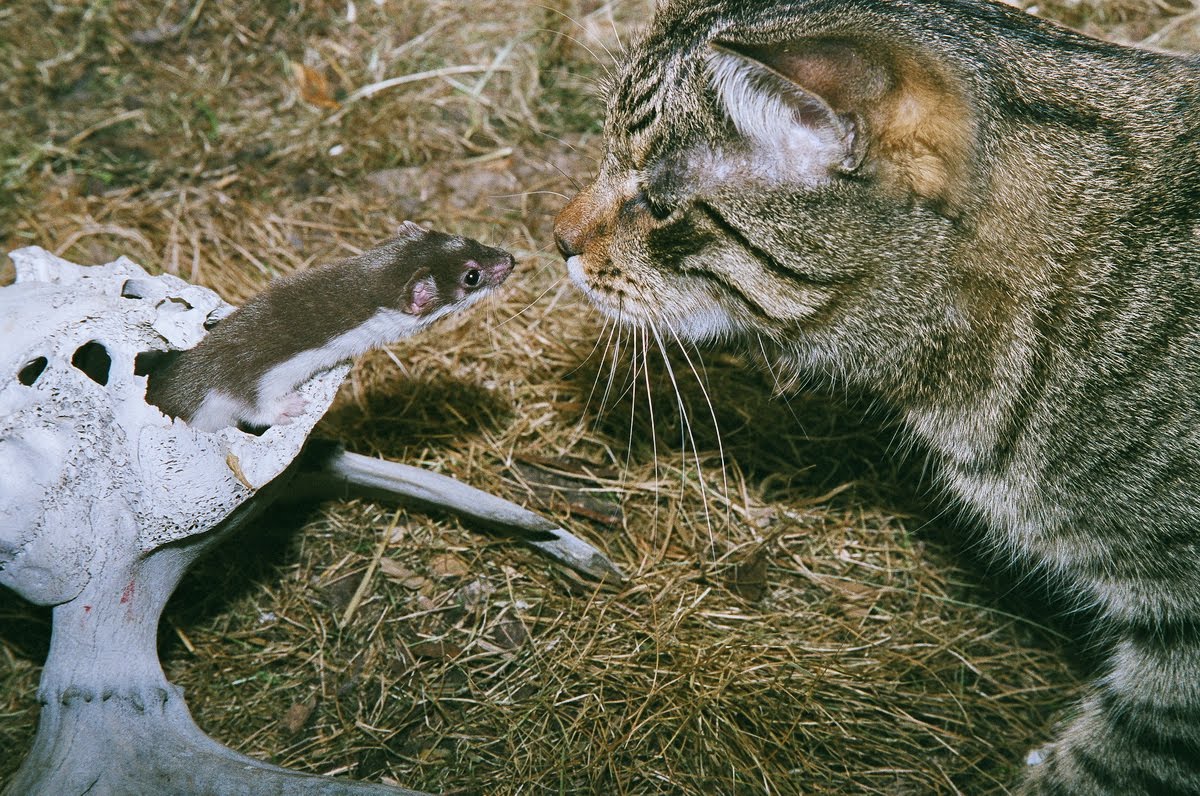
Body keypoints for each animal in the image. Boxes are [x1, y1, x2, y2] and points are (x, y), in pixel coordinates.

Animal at [147, 220, 513, 432]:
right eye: (472, 275)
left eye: (467, 239)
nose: (510, 260)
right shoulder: (247, 372)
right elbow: (252, 406)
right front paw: (289, 407)